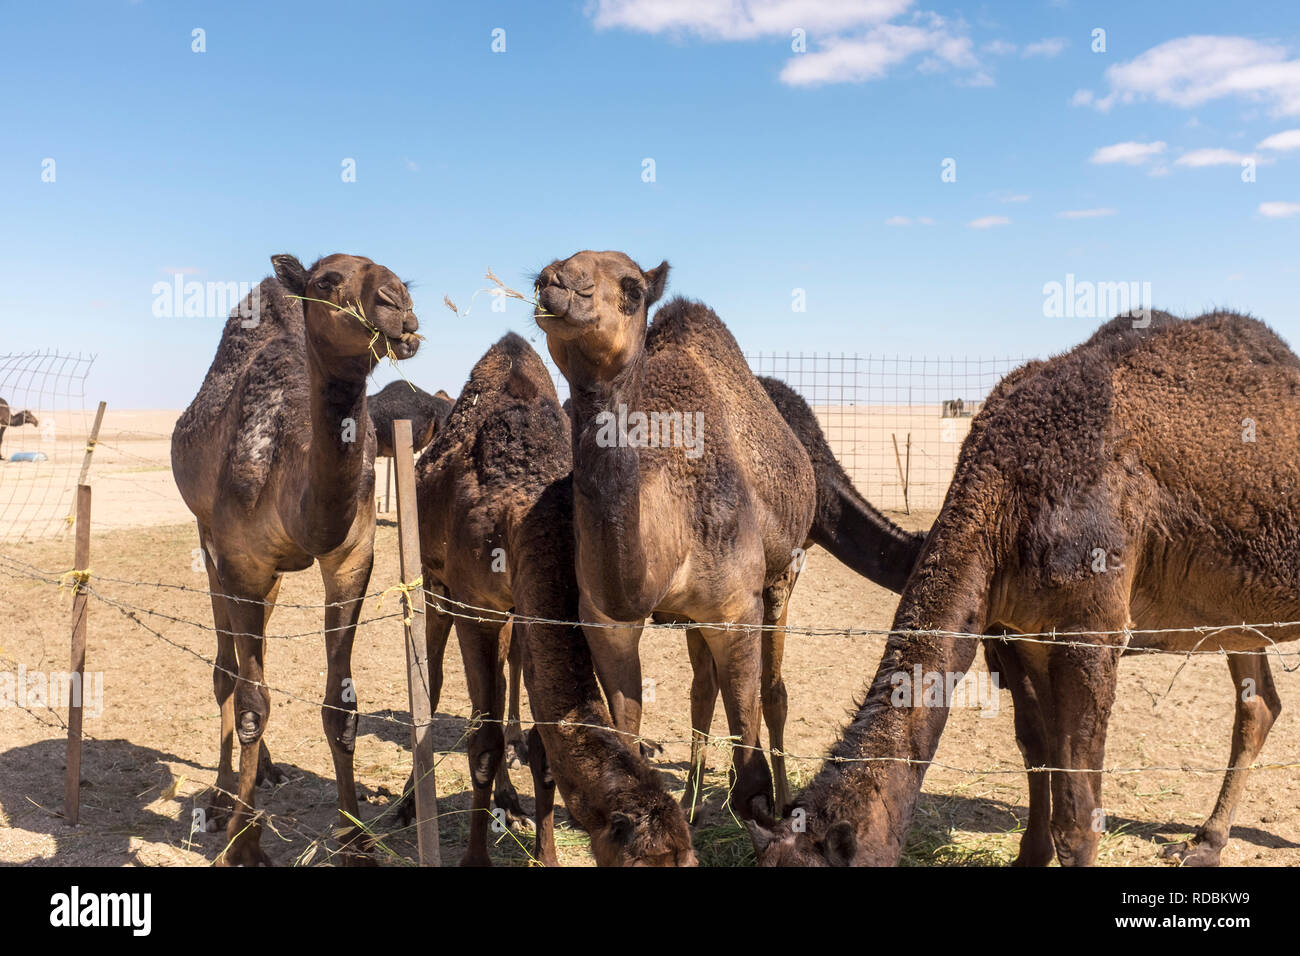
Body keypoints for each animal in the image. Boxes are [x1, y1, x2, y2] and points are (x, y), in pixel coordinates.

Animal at [171, 253, 420, 866]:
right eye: (328, 281)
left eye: (400, 278)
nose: (398, 305)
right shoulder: (238, 559)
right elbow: (250, 702)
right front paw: (243, 842)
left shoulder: (353, 557)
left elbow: (341, 706)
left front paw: (356, 840)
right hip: (209, 541)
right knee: (228, 670)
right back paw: (220, 799)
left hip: (271, 578)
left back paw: (265, 772)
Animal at [404, 332, 693, 865]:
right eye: (640, 862)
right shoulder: (476, 603)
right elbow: (483, 743)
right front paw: (475, 858)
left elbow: (541, 749)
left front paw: (546, 852)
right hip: (437, 584)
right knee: (433, 680)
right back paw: (411, 804)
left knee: (504, 681)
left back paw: (508, 799)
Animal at [535, 250, 815, 823]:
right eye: (549, 269)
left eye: (632, 288)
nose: (555, 284)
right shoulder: (606, 620)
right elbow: (627, 726)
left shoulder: (736, 610)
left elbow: (748, 737)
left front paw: (762, 806)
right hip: (693, 616)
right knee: (701, 689)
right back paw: (688, 800)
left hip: (783, 577)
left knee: (773, 692)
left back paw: (781, 799)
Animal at [750, 310, 1300, 867]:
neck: (1007, 495)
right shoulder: (1015, 631)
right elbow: (1037, 750)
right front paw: (1029, 853)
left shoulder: (1090, 631)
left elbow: (1078, 817)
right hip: (1238, 612)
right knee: (1258, 705)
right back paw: (1204, 841)